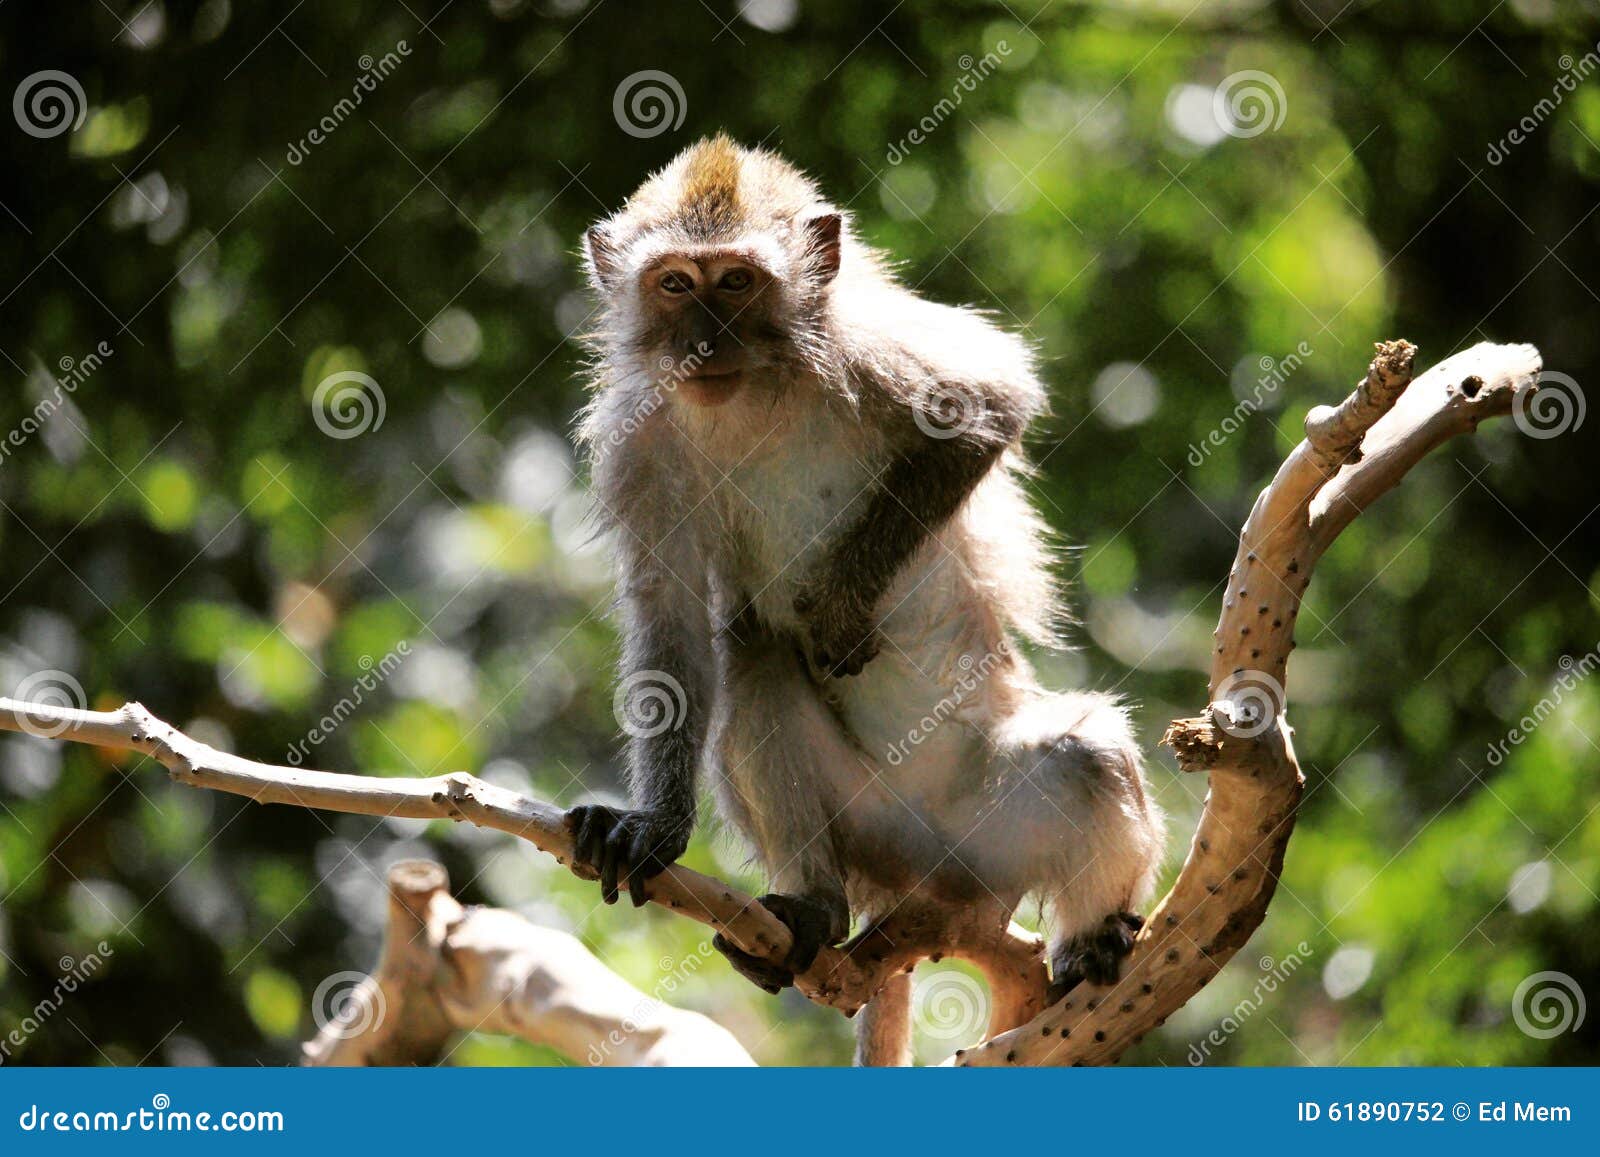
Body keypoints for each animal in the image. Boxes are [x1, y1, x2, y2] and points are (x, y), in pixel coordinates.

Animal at [565, 135, 1165, 1059]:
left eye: (735, 282)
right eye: (673, 284)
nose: (702, 343)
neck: (759, 393)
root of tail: (928, 888)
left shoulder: (867, 345)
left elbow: (990, 408)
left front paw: (843, 603)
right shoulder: (641, 443)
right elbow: (672, 622)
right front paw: (654, 825)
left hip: (997, 831)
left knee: (1087, 756)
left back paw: (1092, 938)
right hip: (871, 830)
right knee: (756, 657)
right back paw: (812, 908)